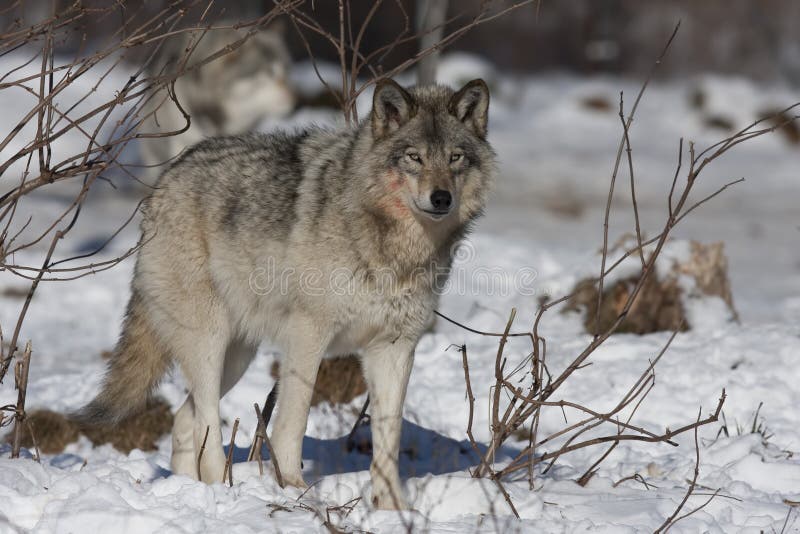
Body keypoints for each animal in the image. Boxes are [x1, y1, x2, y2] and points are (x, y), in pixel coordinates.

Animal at [80, 78, 495, 509]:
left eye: (455, 157)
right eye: (414, 157)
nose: (441, 198)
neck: (395, 247)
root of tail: (168, 176)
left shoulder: (395, 348)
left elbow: (389, 436)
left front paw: (393, 508)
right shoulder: (308, 336)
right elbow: (292, 420)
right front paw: (294, 489)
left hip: (238, 356)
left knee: (184, 420)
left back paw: (191, 491)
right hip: (209, 342)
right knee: (206, 420)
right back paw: (221, 489)